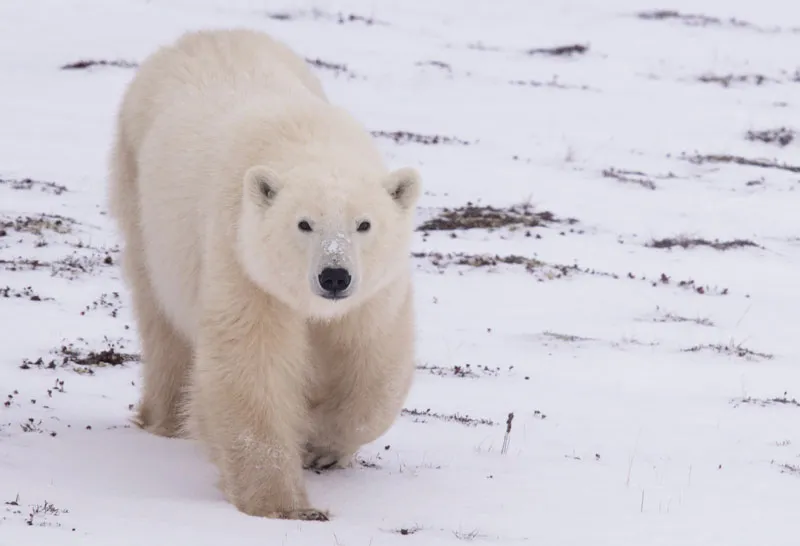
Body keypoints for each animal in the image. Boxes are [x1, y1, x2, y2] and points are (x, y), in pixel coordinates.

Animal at [107, 28, 421, 521]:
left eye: (364, 224)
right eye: (304, 223)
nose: (334, 277)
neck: (308, 140)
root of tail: (202, 35)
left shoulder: (374, 293)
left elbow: (373, 363)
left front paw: (321, 445)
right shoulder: (241, 260)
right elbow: (250, 367)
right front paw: (281, 503)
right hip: (138, 195)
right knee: (162, 321)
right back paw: (166, 418)